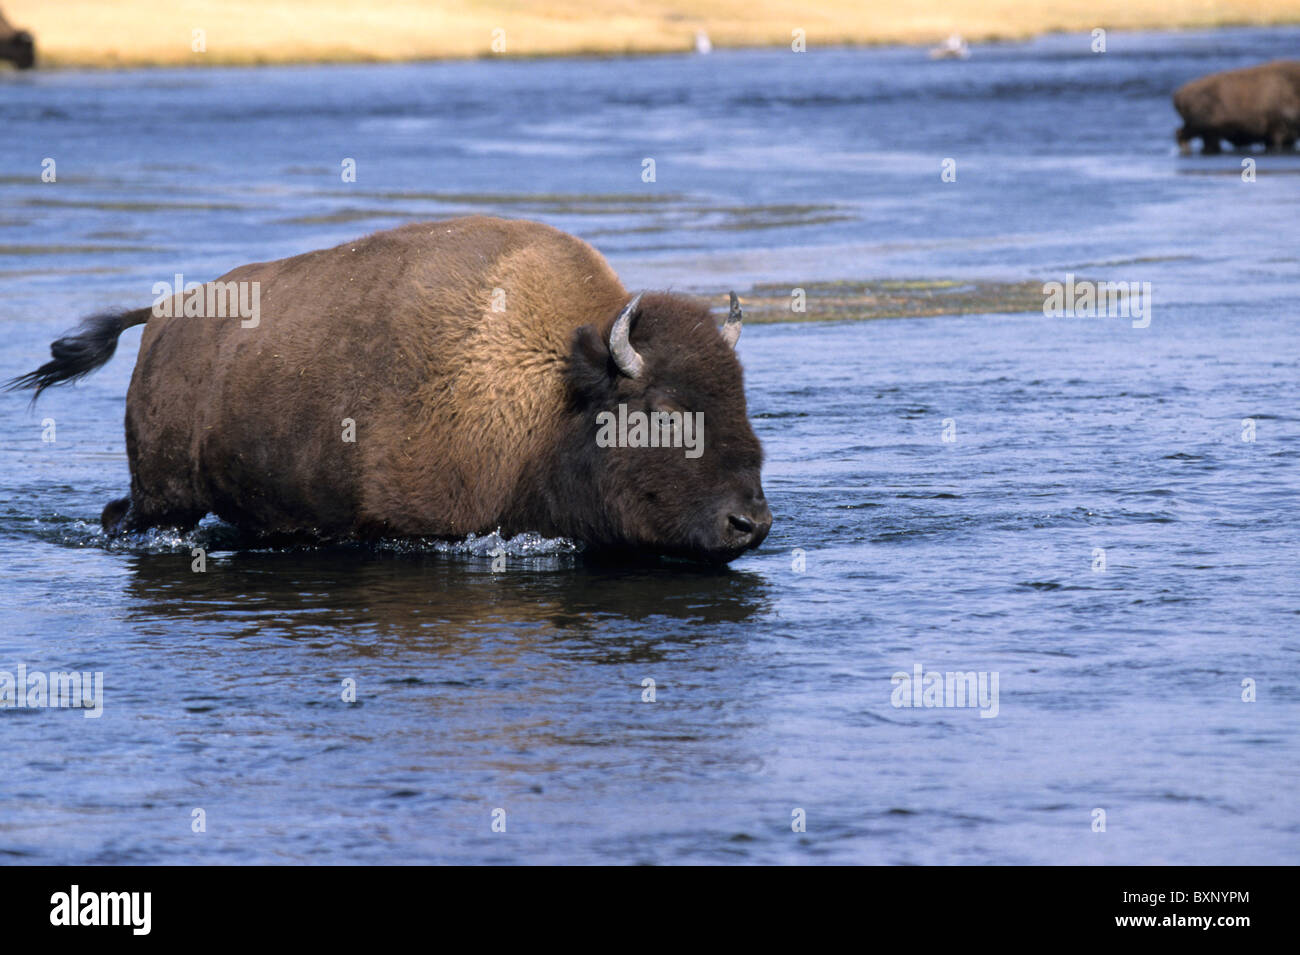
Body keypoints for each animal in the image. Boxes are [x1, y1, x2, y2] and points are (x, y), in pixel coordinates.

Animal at [10, 217, 772, 563]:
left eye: (741, 400)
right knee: (125, 516)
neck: (555, 392)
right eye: (663, 413)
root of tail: (164, 313)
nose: (751, 523)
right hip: (163, 497)